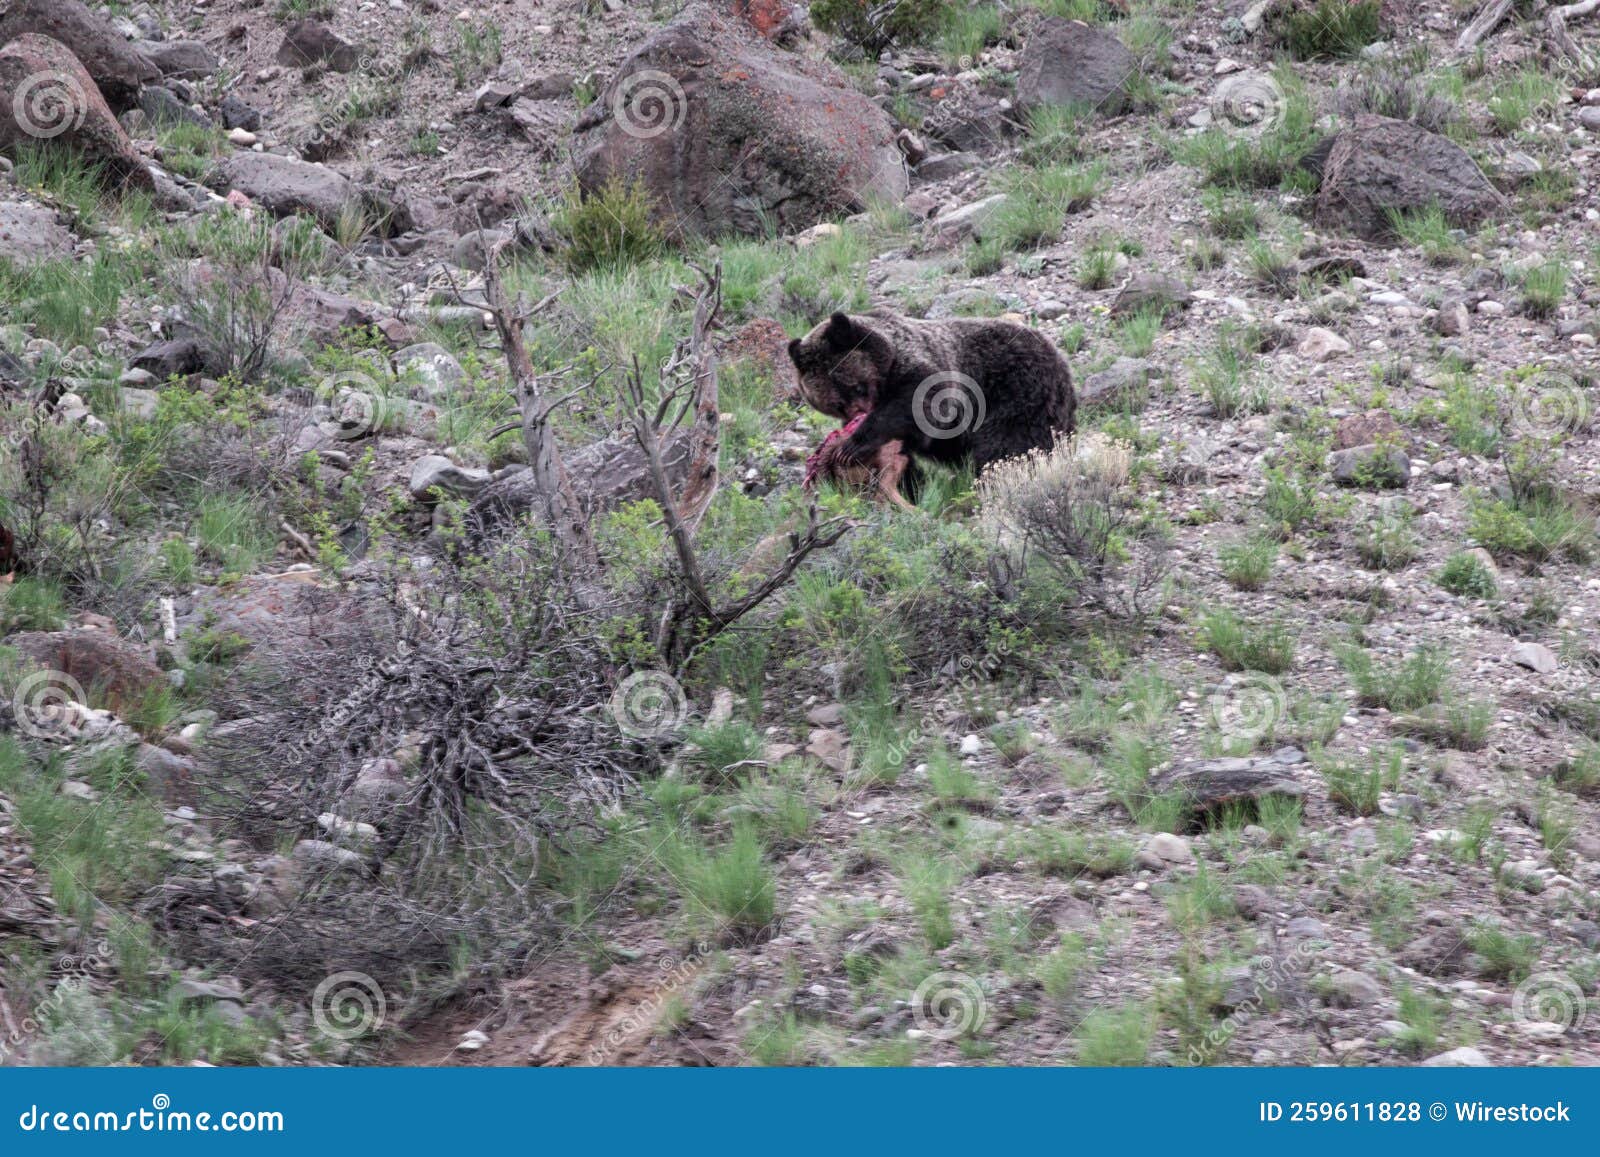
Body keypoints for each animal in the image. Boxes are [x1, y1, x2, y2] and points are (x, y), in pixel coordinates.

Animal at [787, 310, 1075, 500]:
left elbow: (916, 406)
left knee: (1011, 447)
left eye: (856, 386)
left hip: (1017, 390)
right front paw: (909, 486)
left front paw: (851, 445)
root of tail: (1059, 357)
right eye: (837, 404)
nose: (858, 414)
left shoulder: (929, 373)